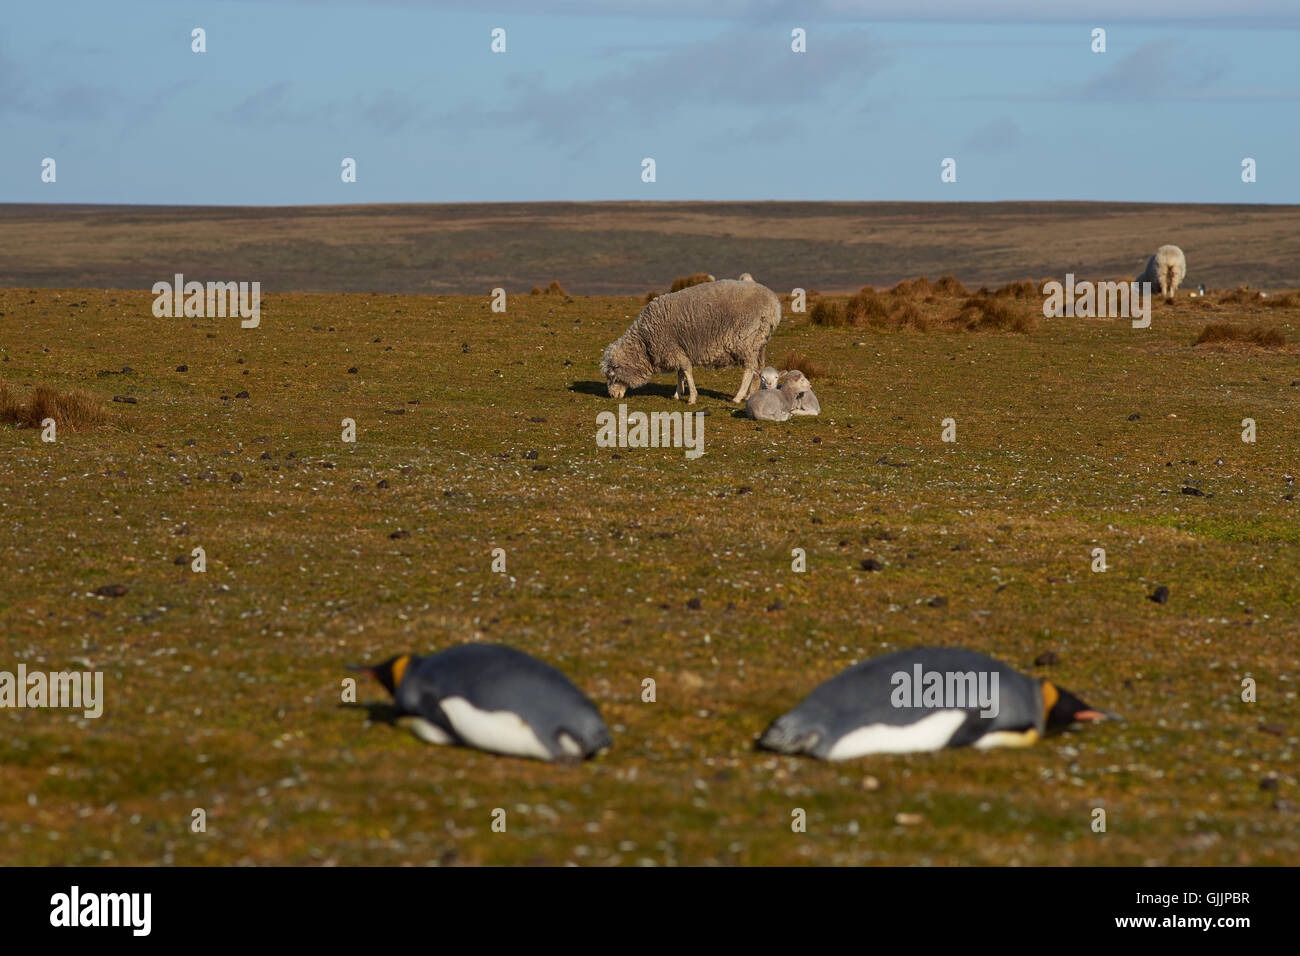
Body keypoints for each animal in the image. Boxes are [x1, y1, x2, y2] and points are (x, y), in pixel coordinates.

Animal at [600, 279, 781, 405]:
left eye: (612, 375)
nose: (612, 395)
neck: (644, 343)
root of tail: (774, 304)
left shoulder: (671, 347)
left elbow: (686, 370)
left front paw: (691, 397)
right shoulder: (678, 348)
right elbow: (680, 372)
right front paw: (678, 393)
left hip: (744, 340)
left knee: (749, 369)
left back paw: (738, 397)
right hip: (759, 342)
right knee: (758, 368)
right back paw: (751, 394)